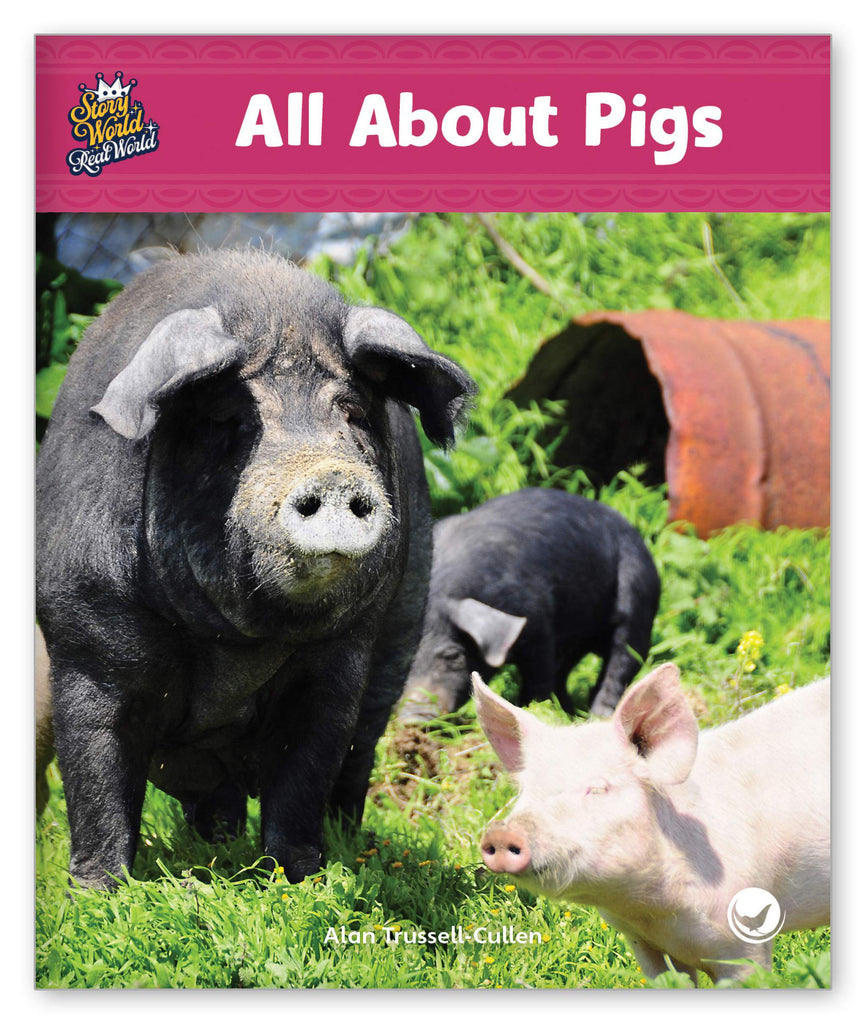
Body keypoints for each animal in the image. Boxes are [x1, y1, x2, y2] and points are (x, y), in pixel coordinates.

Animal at [34, 248, 475, 888]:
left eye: (352, 413)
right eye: (230, 421)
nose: (330, 474)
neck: (236, 642)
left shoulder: (341, 653)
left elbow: (308, 764)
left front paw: (300, 877)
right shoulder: (84, 634)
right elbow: (95, 769)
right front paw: (97, 891)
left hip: (402, 624)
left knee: (360, 747)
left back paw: (347, 841)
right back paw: (214, 845)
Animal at [399, 489, 659, 721]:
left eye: (453, 655)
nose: (412, 717)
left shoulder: (537, 622)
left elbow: (539, 675)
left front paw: (531, 709)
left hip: (638, 594)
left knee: (624, 656)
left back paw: (597, 717)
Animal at [476, 665, 830, 984]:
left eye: (599, 788)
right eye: (524, 792)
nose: (501, 832)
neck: (651, 910)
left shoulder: (742, 945)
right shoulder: (643, 943)